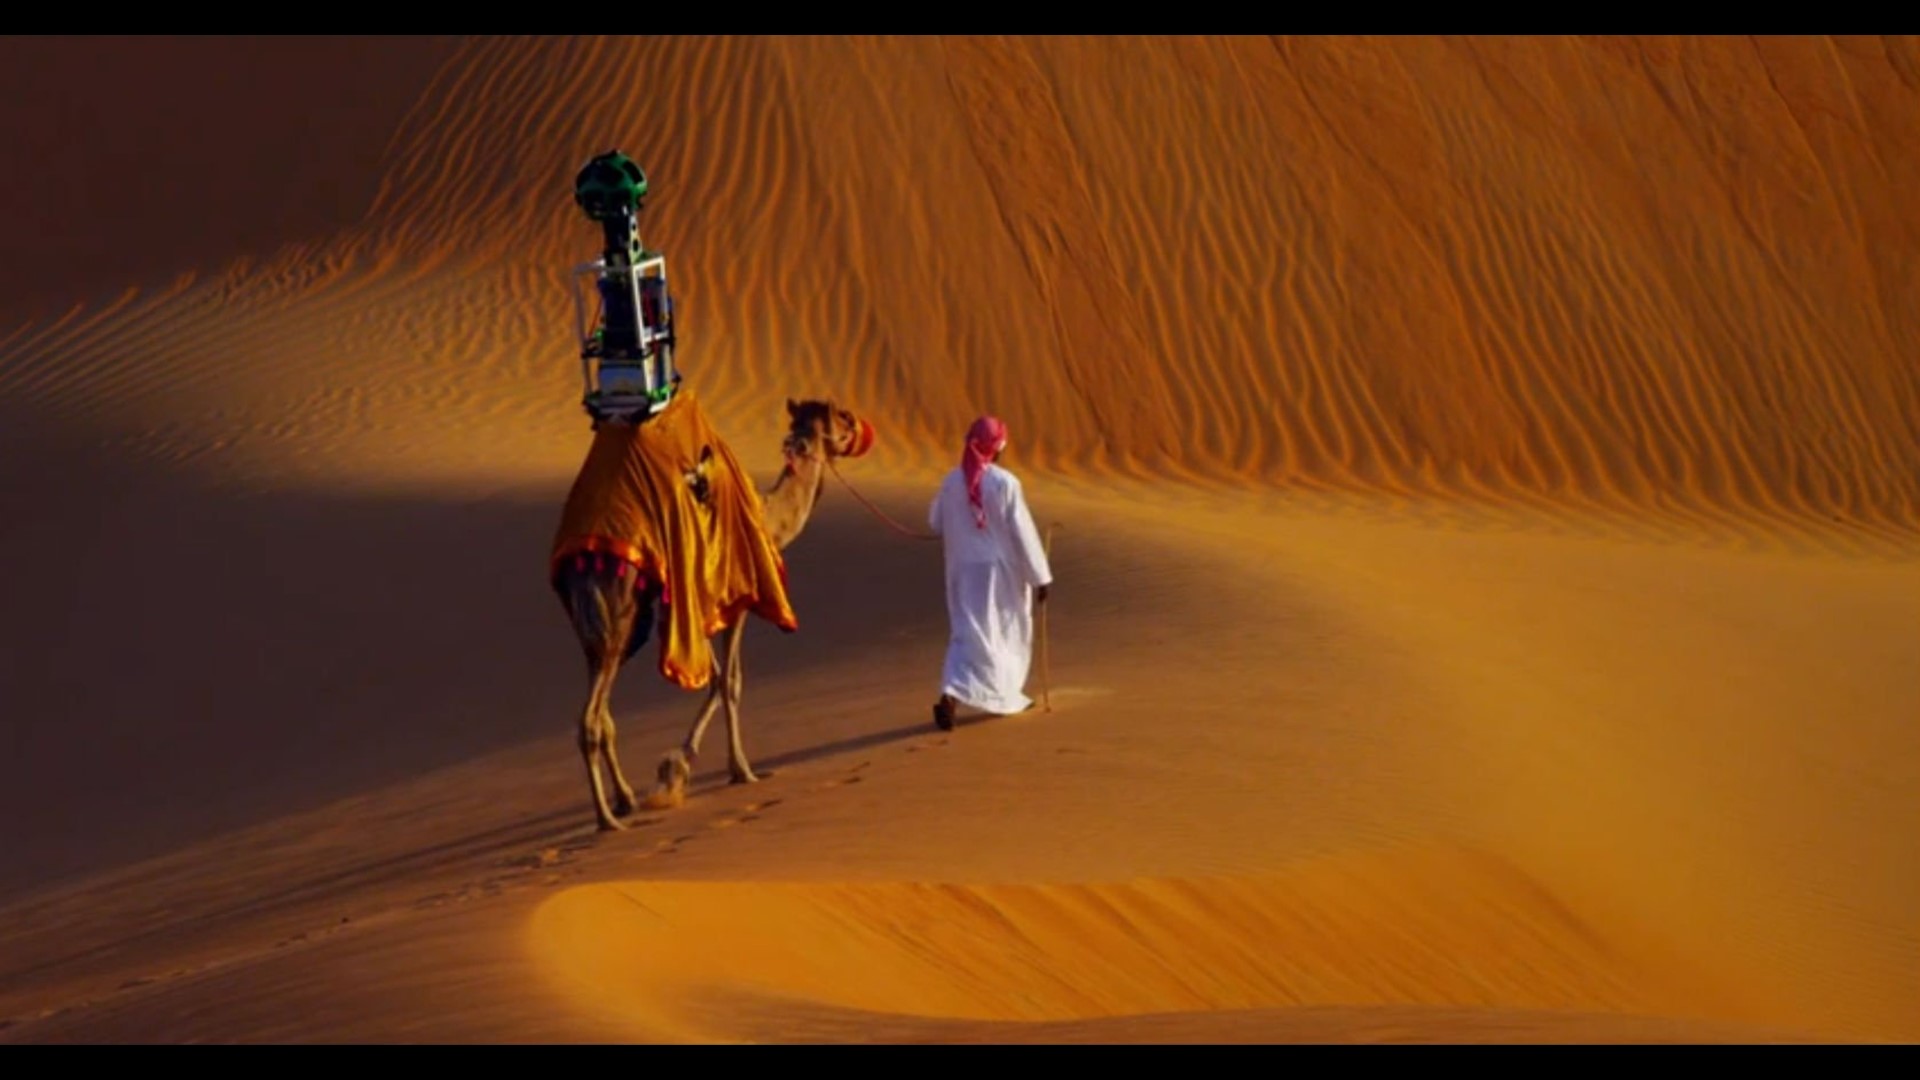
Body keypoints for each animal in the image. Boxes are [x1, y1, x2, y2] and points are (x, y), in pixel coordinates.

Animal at [552, 398, 872, 831]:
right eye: (840, 415)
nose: (861, 426)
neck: (767, 518)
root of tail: (577, 566)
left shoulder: (694, 611)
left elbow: (715, 680)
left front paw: (677, 767)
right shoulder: (735, 601)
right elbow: (730, 681)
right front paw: (738, 770)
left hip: (599, 627)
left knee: (603, 716)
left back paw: (625, 800)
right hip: (617, 616)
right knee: (590, 719)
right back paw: (607, 820)